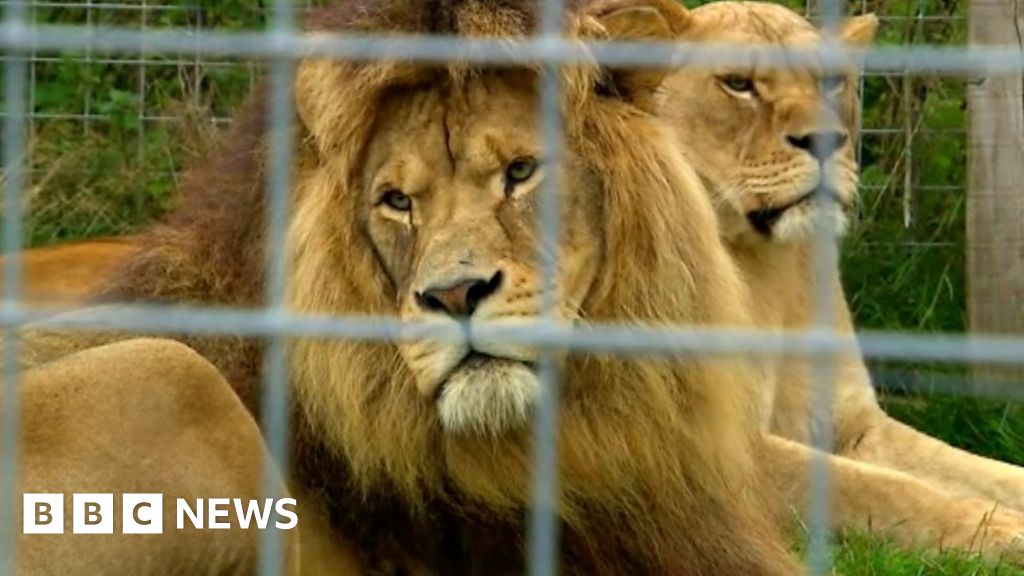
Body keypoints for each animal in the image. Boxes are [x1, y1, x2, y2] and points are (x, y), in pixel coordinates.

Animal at [658, 0, 1024, 561]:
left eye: (832, 82)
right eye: (738, 84)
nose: (828, 139)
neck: (769, 267)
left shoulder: (853, 425)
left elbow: (979, 470)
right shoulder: (714, 446)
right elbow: (882, 490)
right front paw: (1006, 531)